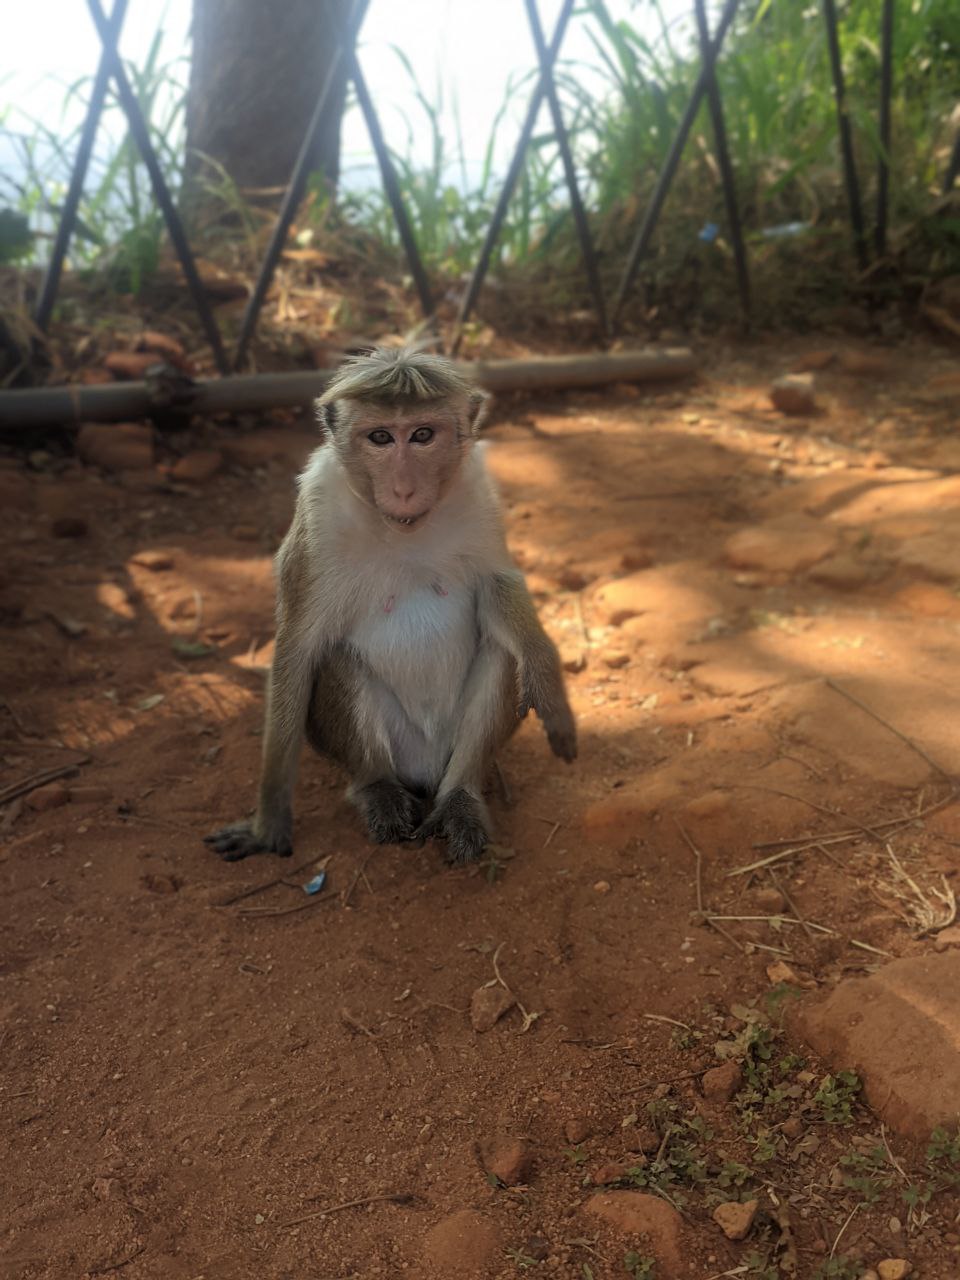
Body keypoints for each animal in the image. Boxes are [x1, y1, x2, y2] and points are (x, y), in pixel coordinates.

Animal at [206, 345, 576, 865]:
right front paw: (268, 824)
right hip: (396, 750)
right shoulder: (317, 511)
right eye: (380, 437)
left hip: (445, 749)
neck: (402, 527)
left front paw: (546, 672)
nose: (403, 488)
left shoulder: (477, 491)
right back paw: (378, 790)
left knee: (504, 653)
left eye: (422, 435)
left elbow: (495, 588)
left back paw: (460, 798)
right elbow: (298, 651)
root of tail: (425, 773)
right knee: (337, 660)